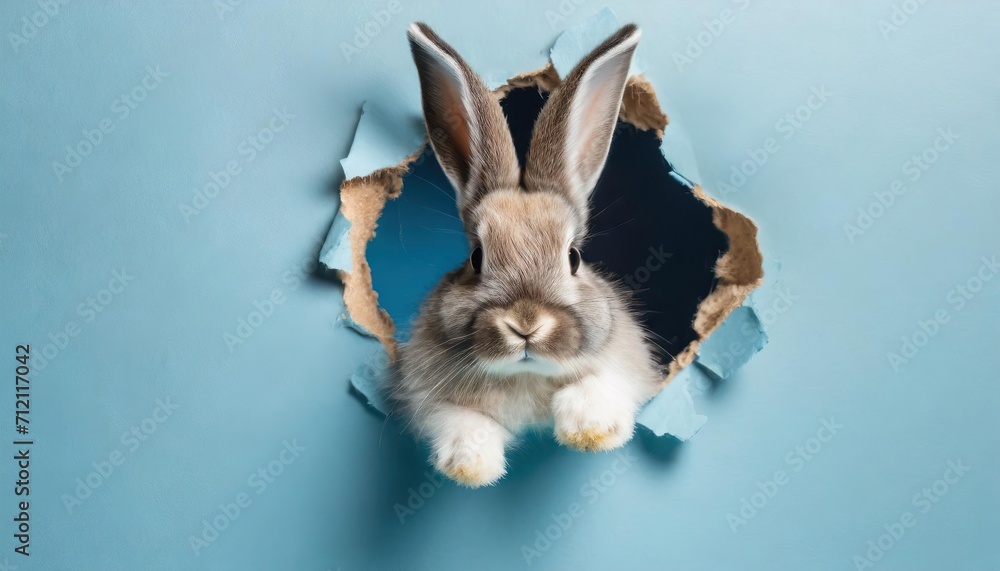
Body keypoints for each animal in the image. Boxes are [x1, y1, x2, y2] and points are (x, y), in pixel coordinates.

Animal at [390, 22, 663, 487]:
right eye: (476, 257)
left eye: (573, 257)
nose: (526, 324)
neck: (527, 372)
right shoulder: (429, 399)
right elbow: (461, 422)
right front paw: (472, 468)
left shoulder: (627, 368)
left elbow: (602, 385)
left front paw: (589, 432)